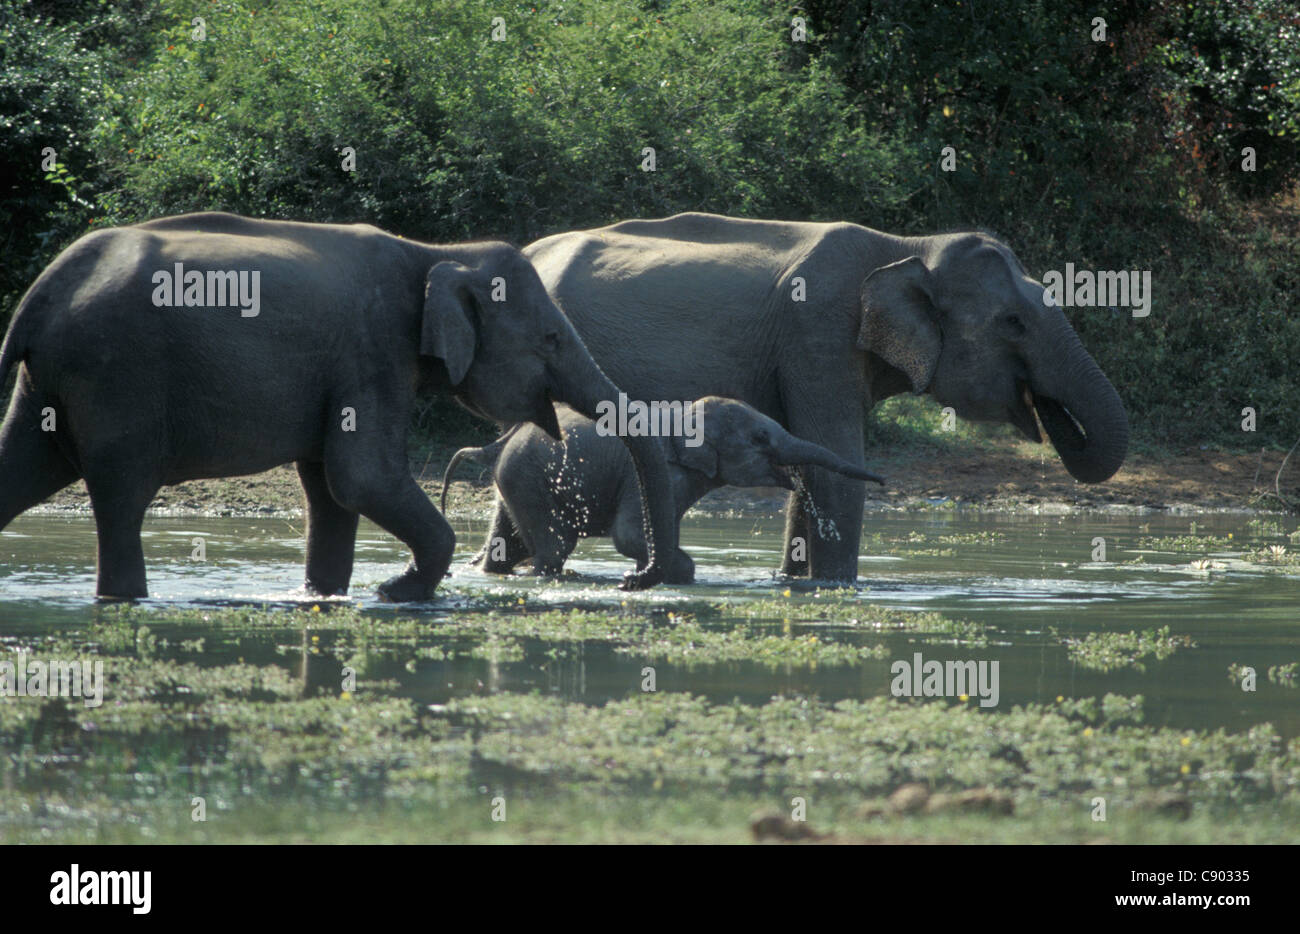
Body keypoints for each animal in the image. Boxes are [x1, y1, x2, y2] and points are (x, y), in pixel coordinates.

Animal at [0, 212, 678, 599]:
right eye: (552, 338)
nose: (637, 581)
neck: (434, 252)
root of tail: (39, 294)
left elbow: (330, 487)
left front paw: (329, 597)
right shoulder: (370, 351)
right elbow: (361, 476)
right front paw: (399, 592)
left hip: (55, 383)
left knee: (23, 468)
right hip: (117, 374)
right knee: (122, 496)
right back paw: (126, 600)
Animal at [441, 396, 884, 583]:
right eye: (760, 438)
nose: (882, 480)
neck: (688, 413)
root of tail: (500, 442)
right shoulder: (658, 472)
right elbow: (631, 534)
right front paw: (668, 575)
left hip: (518, 477)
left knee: (508, 544)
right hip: (530, 477)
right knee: (553, 546)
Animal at [522, 212, 1129, 582]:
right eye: (1013, 323)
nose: (1044, 410)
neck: (908, 247)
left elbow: (811, 469)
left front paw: (791, 582)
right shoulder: (817, 333)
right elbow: (835, 469)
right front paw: (834, 587)